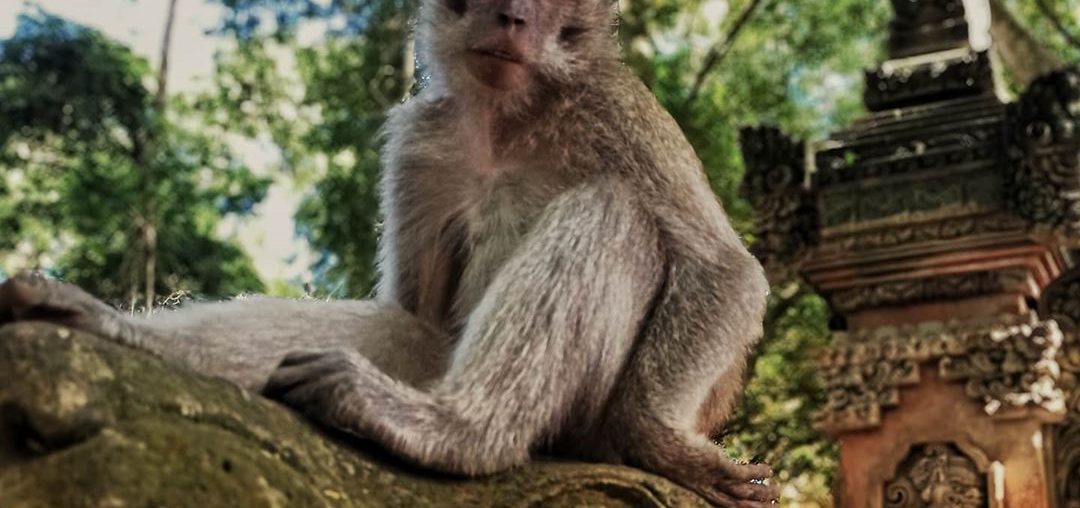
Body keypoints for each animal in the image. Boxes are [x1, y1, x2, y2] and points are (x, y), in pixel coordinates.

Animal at [0, 0, 776, 505]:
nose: (512, 17)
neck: (505, 117)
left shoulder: (616, 106)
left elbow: (723, 270)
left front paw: (662, 443)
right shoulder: (418, 139)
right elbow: (412, 314)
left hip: (593, 425)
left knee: (616, 212)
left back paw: (462, 435)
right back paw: (121, 334)